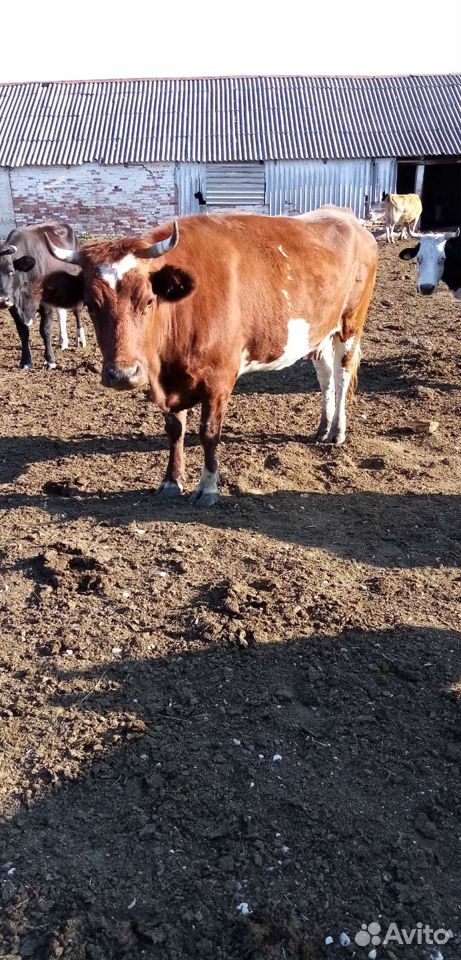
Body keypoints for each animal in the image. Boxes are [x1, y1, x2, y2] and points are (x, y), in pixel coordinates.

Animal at [0, 222, 86, 369]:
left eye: (11, 271)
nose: (2, 300)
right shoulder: (14, 306)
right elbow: (23, 332)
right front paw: (26, 361)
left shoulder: (45, 304)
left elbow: (45, 330)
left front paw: (50, 360)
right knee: (62, 313)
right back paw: (63, 341)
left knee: (77, 311)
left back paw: (80, 339)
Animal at [40, 208, 378, 506]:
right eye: (91, 304)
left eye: (148, 300)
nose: (122, 375)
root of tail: (348, 218)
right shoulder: (168, 380)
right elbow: (174, 430)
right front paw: (171, 481)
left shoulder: (220, 378)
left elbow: (208, 432)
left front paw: (208, 487)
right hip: (319, 332)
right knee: (325, 377)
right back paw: (323, 427)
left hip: (351, 323)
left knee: (342, 374)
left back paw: (337, 431)